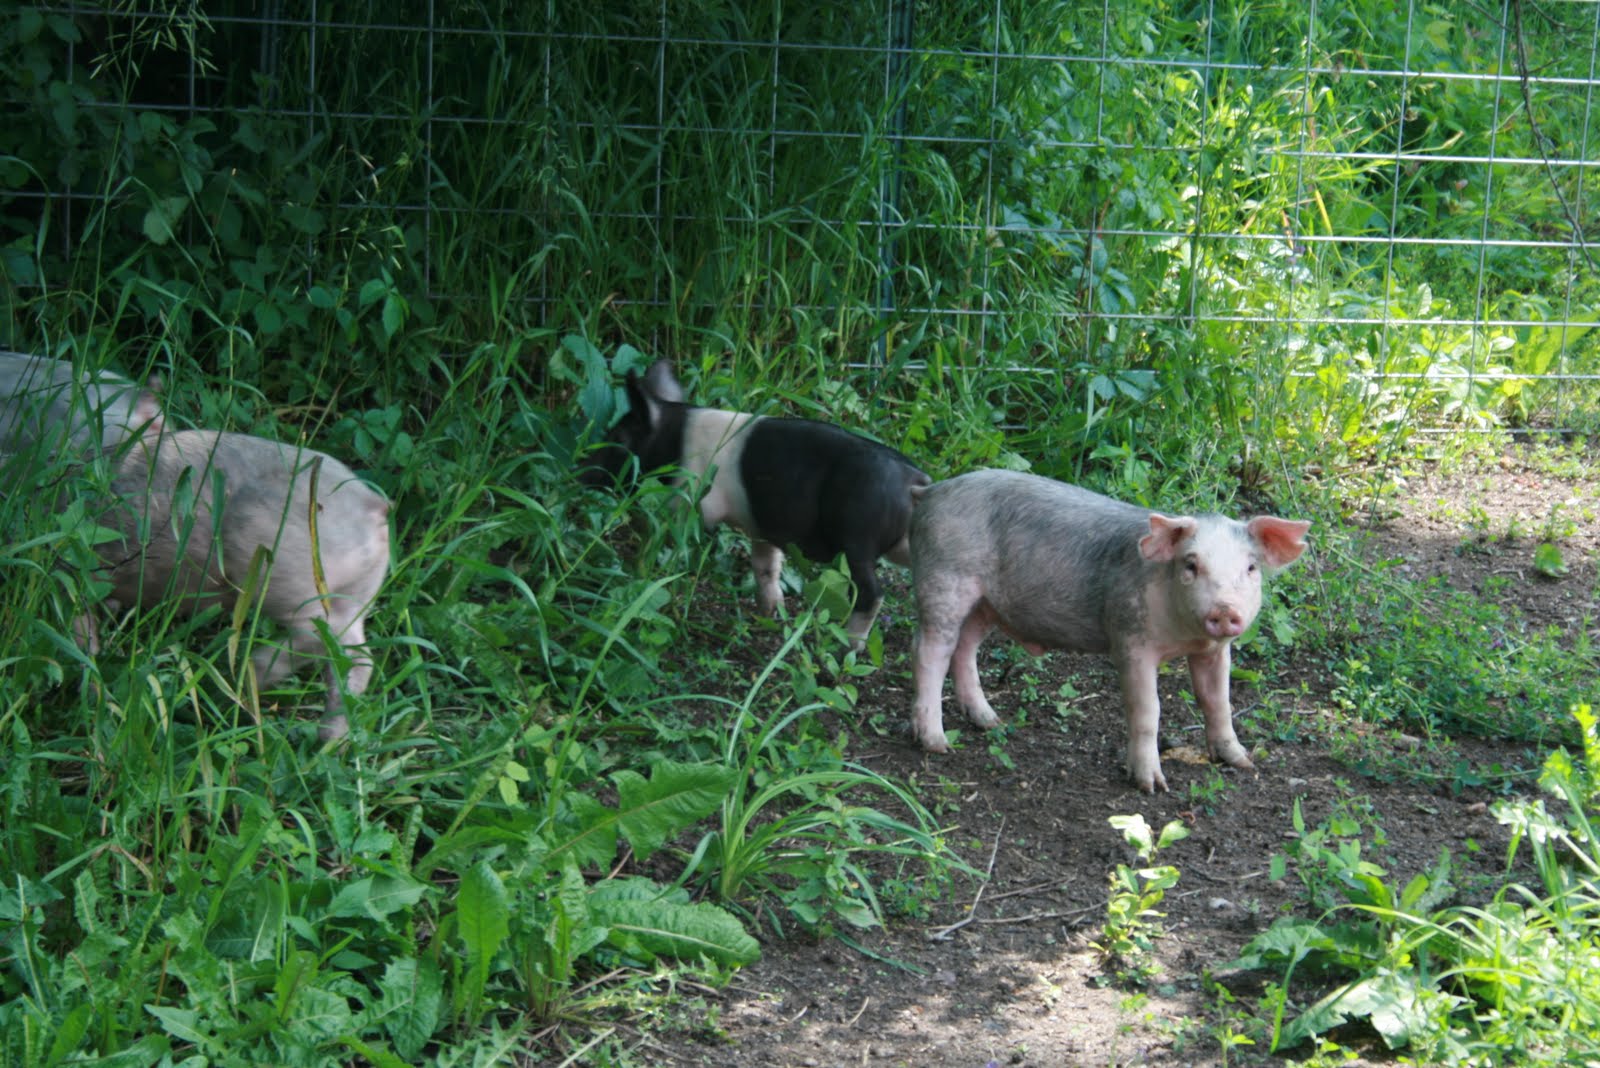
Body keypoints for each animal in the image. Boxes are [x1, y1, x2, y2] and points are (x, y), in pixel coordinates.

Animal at [96, 430, 392, 740]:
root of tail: (372, 505)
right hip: (357, 592)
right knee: (356, 657)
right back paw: (328, 738)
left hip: (281, 565)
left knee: (320, 635)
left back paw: (242, 677)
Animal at [582, 360, 930, 644]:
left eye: (617, 439)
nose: (580, 471)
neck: (674, 435)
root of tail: (915, 482)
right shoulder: (764, 529)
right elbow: (766, 567)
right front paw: (769, 614)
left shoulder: (690, 502)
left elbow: (661, 536)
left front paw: (639, 570)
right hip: (904, 542)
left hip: (856, 537)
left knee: (872, 594)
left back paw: (848, 644)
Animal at [908, 469, 1310, 792]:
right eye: (1191, 565)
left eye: (1251, 568)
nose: (1225, 611)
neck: (1182, 637)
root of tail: (932, 492)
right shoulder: (1129, 639)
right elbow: (1147, 709)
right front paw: (1152, 787)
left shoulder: (1213, 650)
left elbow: (1218, 701)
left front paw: (1242, 761)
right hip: (944, 581)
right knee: (929, 652)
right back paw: (937, 744)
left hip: (984, 604)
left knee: (964, 648)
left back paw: (991, 722)